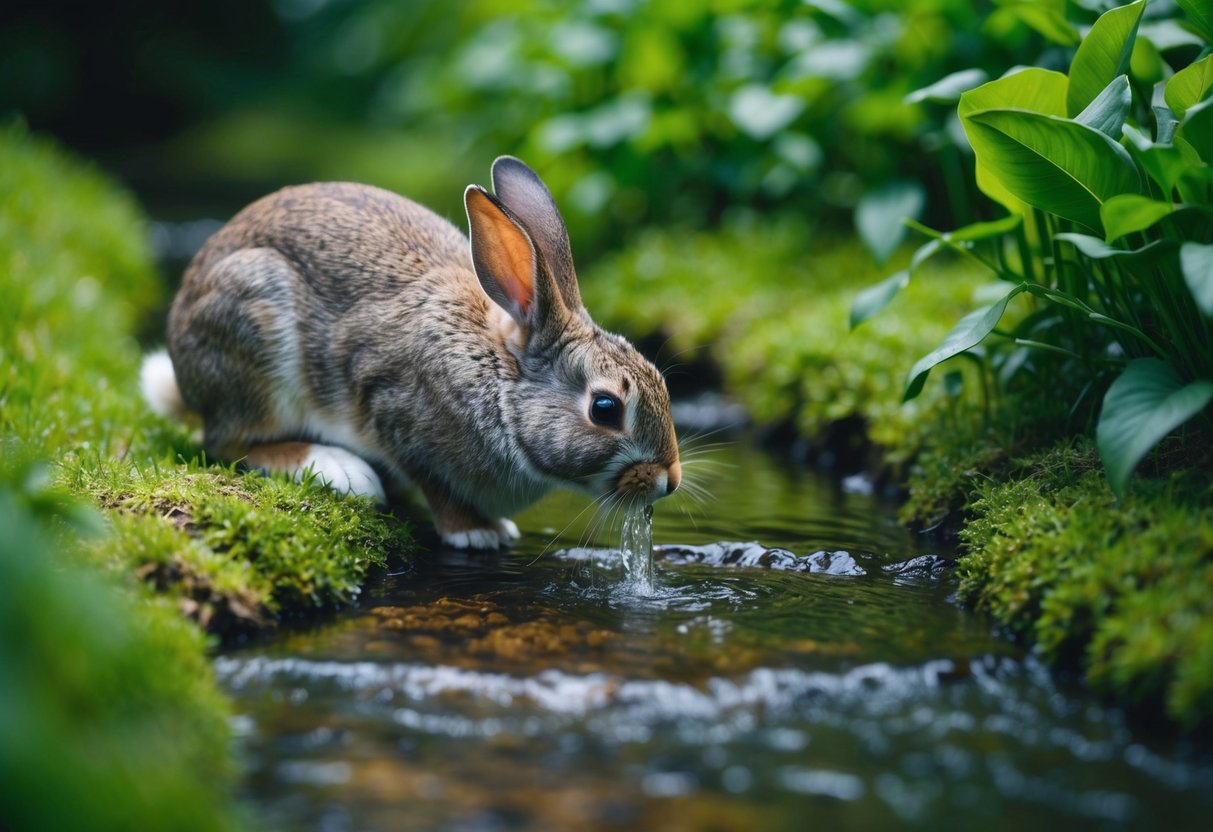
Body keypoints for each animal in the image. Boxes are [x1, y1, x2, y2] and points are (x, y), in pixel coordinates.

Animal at [141, 156, 681, 549]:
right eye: (605, 408)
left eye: (661, 379)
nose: (669, 481)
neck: (500, 384)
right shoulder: (394, 410)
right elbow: (435, 484)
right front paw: (478, 533)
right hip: (254, 335)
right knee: (228, 442)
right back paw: (339, 468)